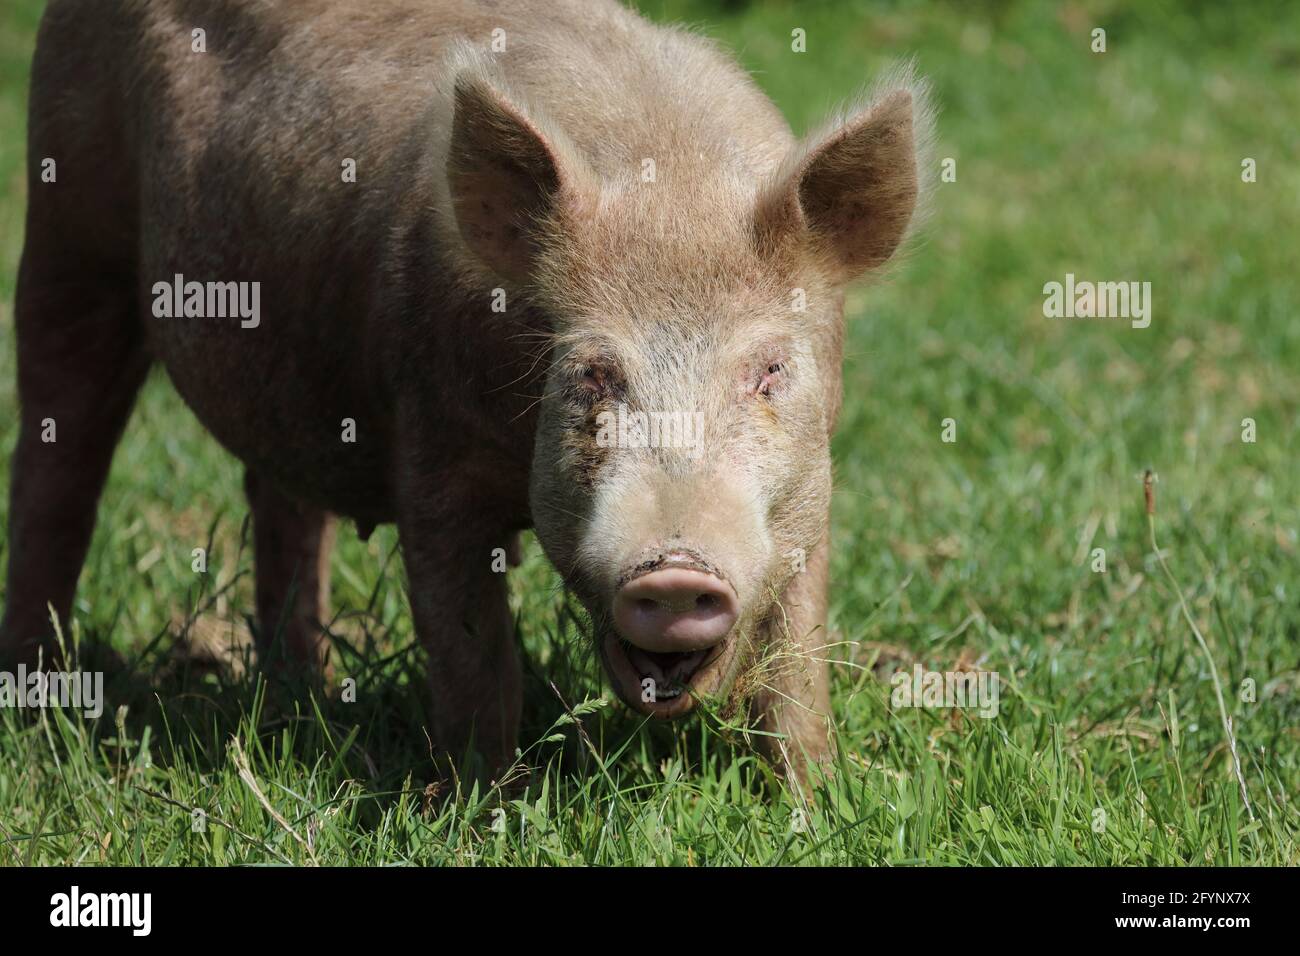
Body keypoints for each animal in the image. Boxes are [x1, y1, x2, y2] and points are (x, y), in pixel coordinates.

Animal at [1, 0, 929, 782]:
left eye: (768, 371)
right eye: (591, 373)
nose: (671, 572)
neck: (671, 187)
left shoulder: (811, 487)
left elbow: (796, 668)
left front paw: (814, 799)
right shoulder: (431, 448)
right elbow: (476, 659)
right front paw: (484, 807)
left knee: (282, 500)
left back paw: (302, 687)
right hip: (67, 222)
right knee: (58, 469)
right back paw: (40, 706)